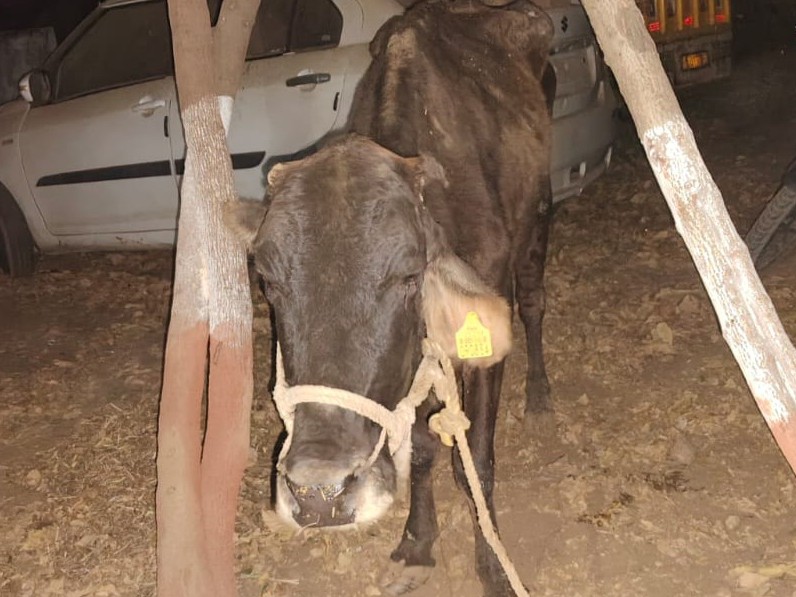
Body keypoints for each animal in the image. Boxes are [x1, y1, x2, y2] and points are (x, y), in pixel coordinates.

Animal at [227, 1, 555, 595]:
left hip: (539, 212)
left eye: (406, 275)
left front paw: (493, 562)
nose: (320, 494)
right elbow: (422, 449)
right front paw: (417, 544)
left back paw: (540, 395)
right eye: (267, 279)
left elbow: (481, 458)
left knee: (536, 301)